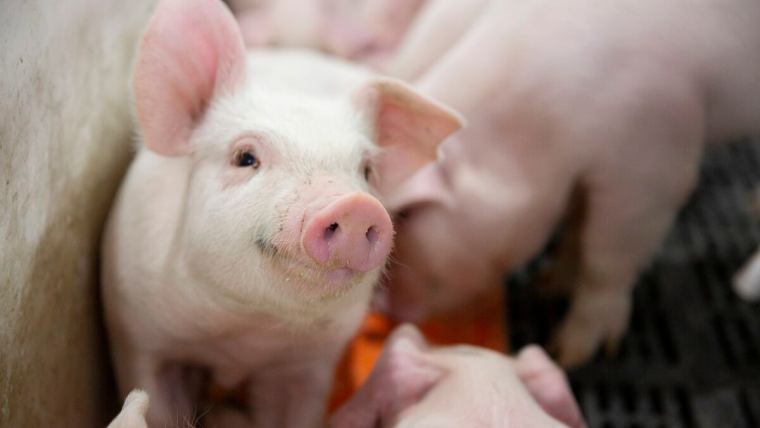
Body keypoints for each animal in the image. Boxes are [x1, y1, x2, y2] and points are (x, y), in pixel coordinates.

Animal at [100, 0, 462, 426]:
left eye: (367, 170)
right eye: (245, 157)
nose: (355, 206)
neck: (247, 329)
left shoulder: (307, 364)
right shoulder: (137, 334)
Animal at [376, 0, 760, 367]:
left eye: (408, 213)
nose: (383, 310)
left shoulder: (651, 164)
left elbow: (605, 257)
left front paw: (569, 354)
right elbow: (578, 225)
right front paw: (547, 285)